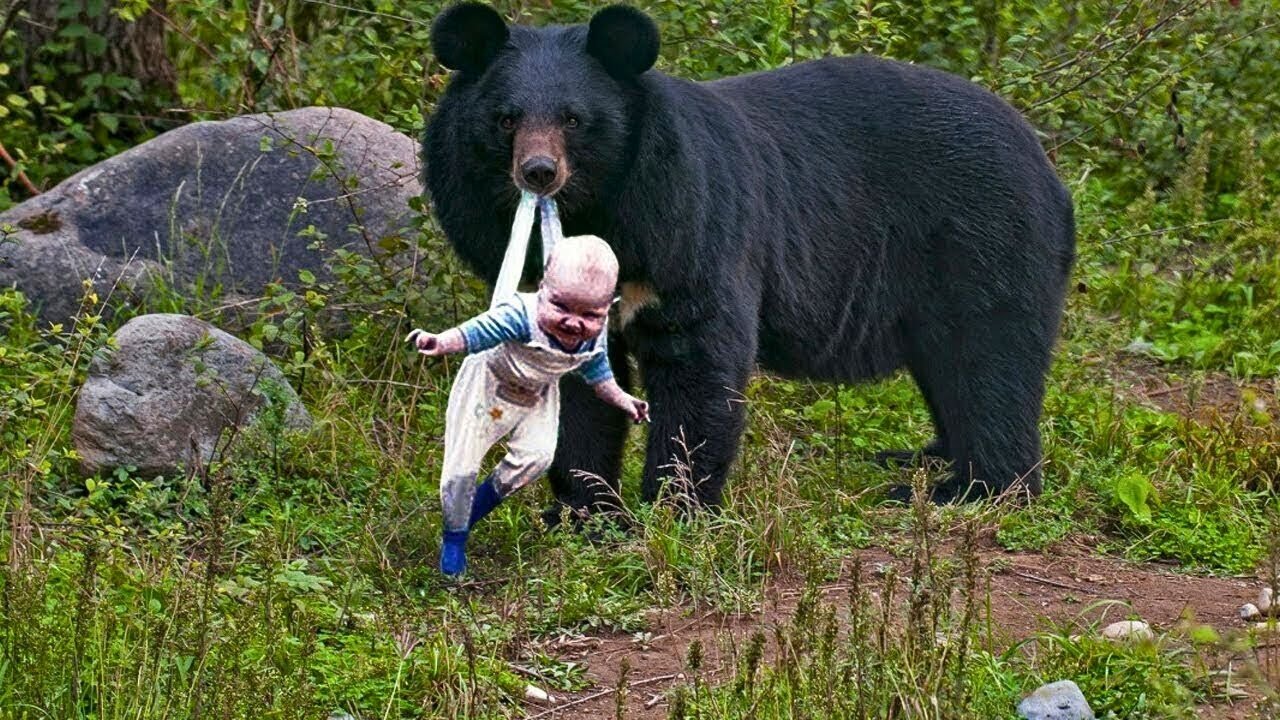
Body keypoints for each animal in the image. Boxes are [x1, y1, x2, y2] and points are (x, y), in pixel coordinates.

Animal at [422, 3, 1076, 516]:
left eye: (574, 119)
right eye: (506, 118)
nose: (538, 171)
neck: (598, 215)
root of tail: (1048, 167)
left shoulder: (687, 224)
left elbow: (698, 358)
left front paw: (675, 508)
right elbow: (575, 387)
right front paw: (587, 511)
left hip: (982, 241)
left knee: (987, 359)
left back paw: (971, 488)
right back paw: (920, 458)